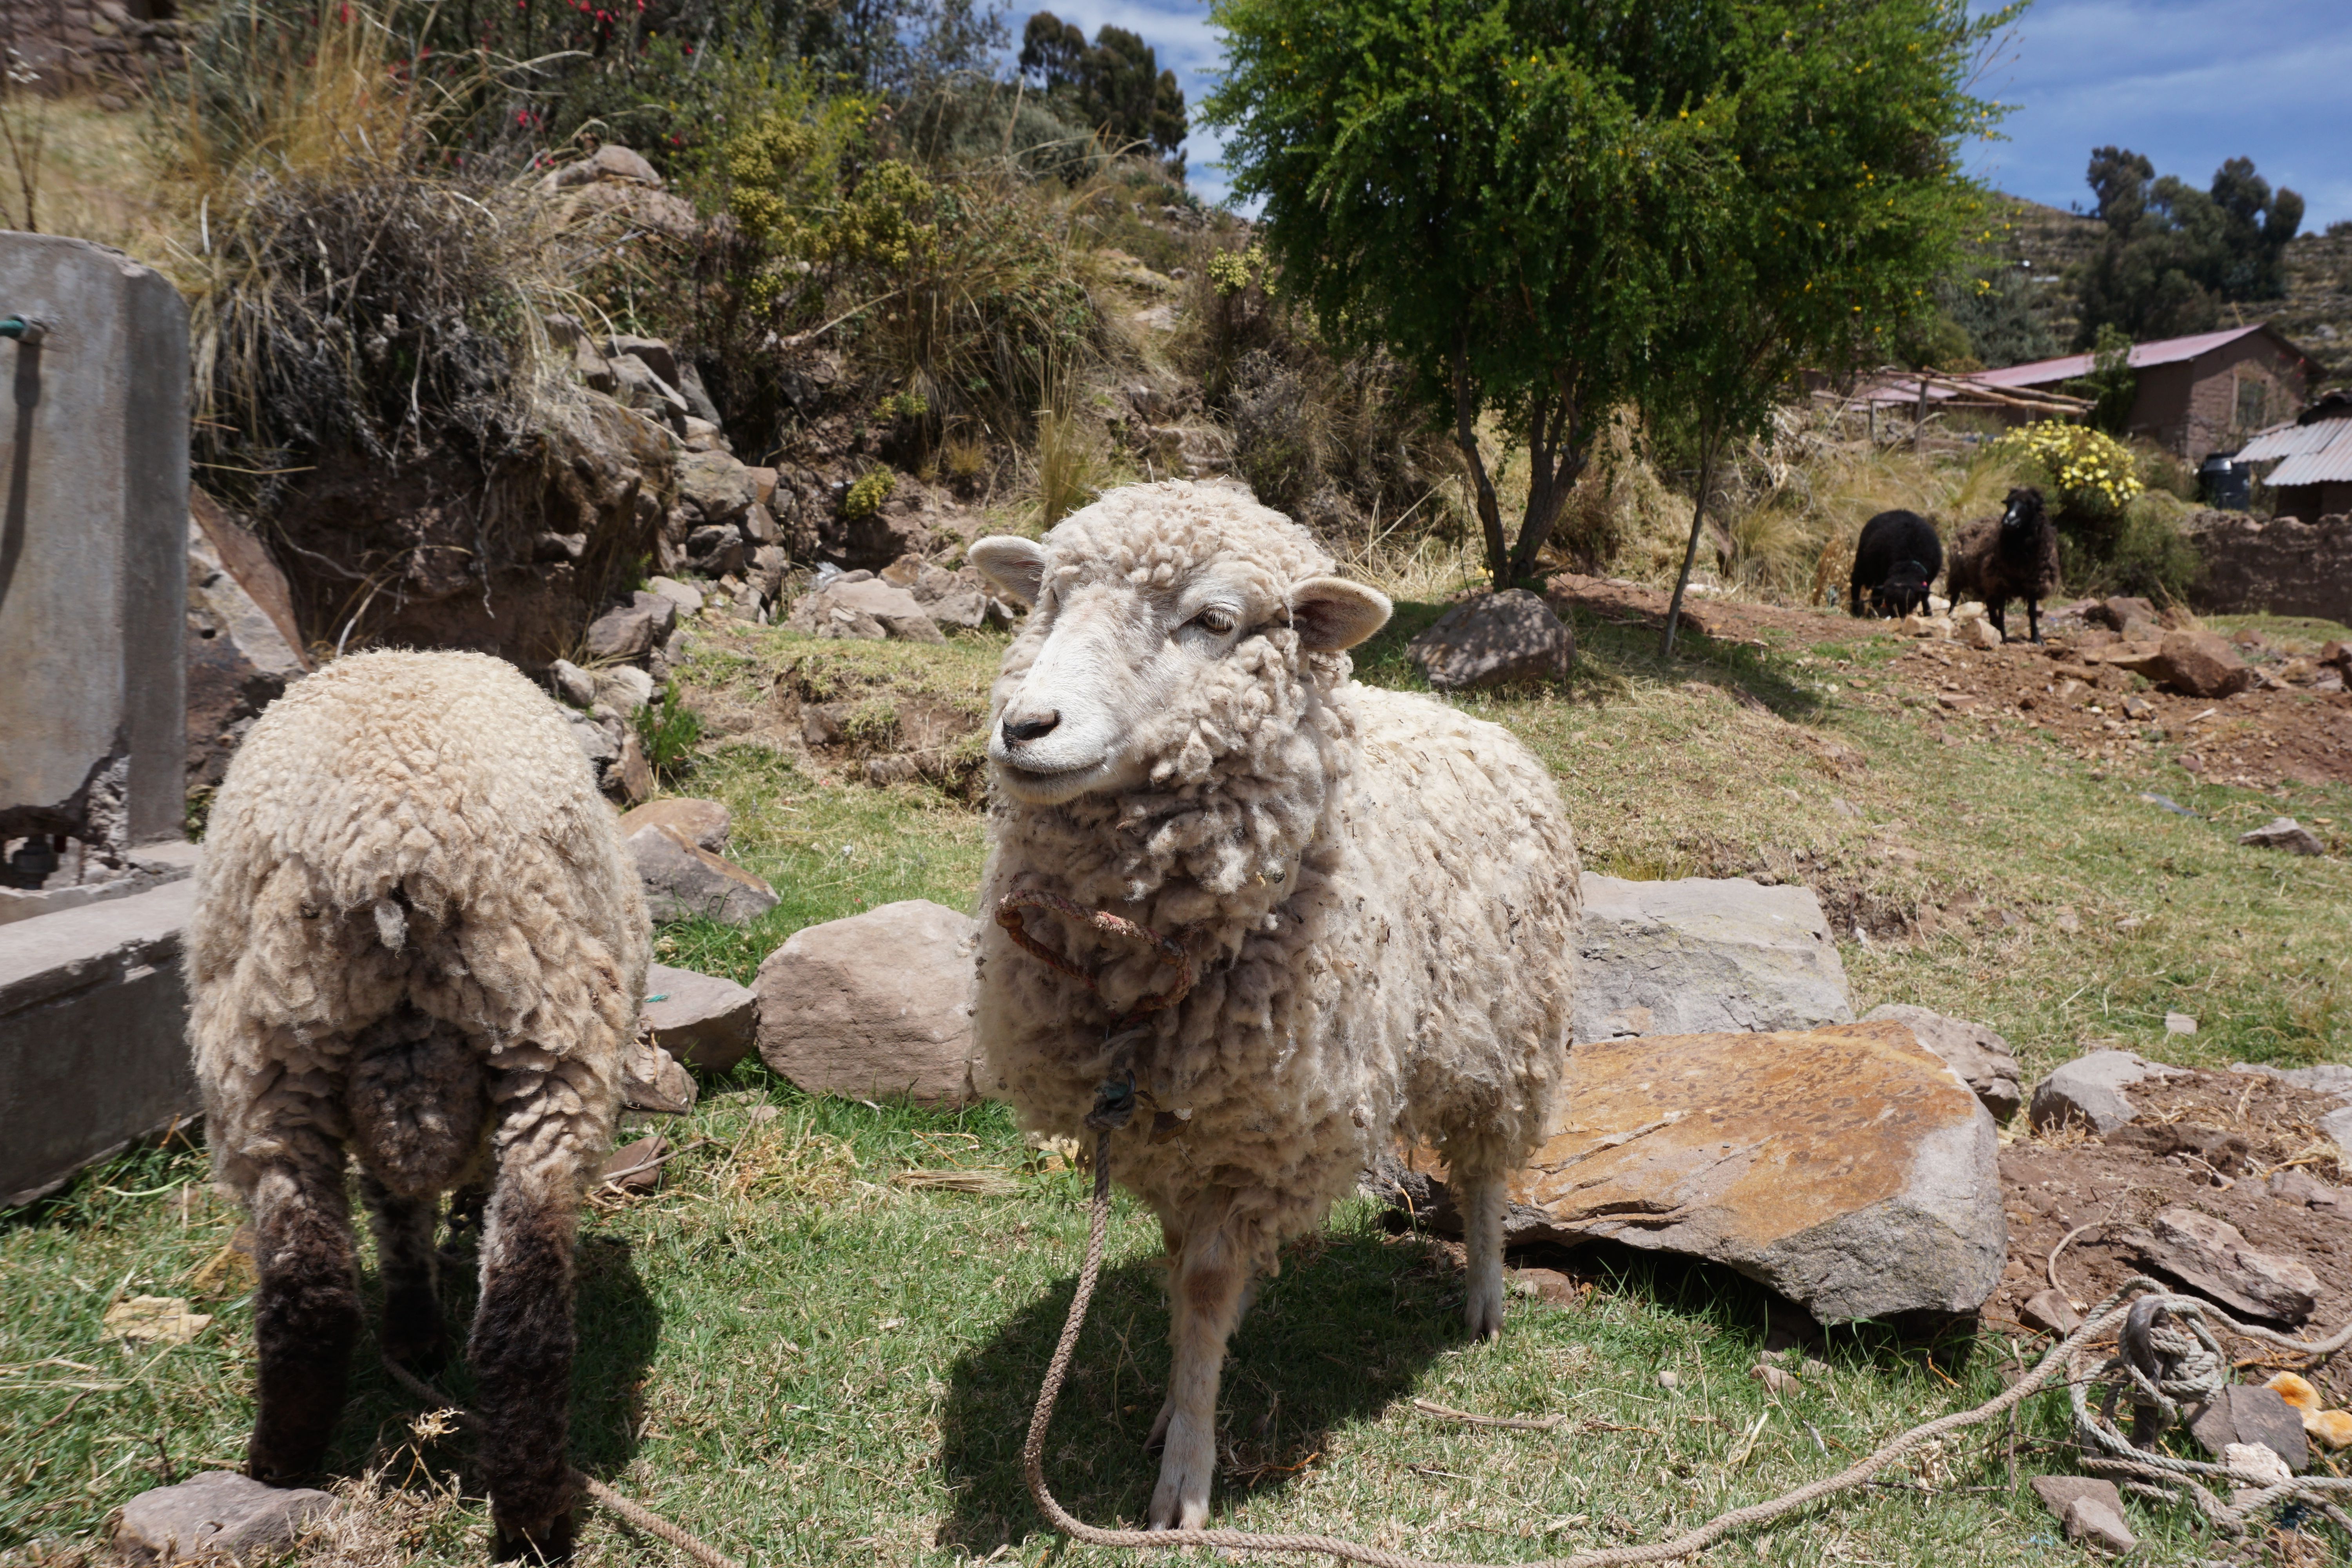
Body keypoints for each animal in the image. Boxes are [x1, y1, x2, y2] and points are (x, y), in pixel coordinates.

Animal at [189, 649, 649, 1558]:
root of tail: (395, 847)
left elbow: (398, 1219)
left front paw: (413, 1329)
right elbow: (404, 1216)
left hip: (270, 1060)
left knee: (313, 1290)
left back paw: (281, 1465)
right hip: (546, 1038)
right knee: (522, 1312)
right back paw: (535, 1523)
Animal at [966, 481, 1582, 1532]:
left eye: (1214, 621)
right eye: (1048, 597)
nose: (1027, 726)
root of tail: (1462, 715)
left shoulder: (1256, 1134)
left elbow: (1208, 1283)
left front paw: (1187, 1470)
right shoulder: (1172, 1129)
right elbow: (1186, 1269)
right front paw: (1182, 1394)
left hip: (1505, 1036)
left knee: (1485, 1171)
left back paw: (1485, 1294)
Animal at [1847, 508, 1944, 618]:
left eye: (1909, 601)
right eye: (1888, 602)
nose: (1898, 617)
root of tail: (1896, 511)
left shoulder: (1927, 581)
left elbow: (1925, 598)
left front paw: (1928, 614)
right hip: (1864, 564)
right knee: (1857, 581)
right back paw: (1857, 610)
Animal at [1946, 486, 2061, 643]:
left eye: (2030, 505)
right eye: (2009, 504)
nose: (2008, 521)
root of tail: (1971, 522)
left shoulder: (2035, 583)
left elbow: (2032, 612)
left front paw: (2037, 638)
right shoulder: (1999, 582)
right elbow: (2002, 611)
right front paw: (2003, 635)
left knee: (1990, 606)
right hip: (1959, 574)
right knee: (1954, 598)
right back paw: (1950, 617)